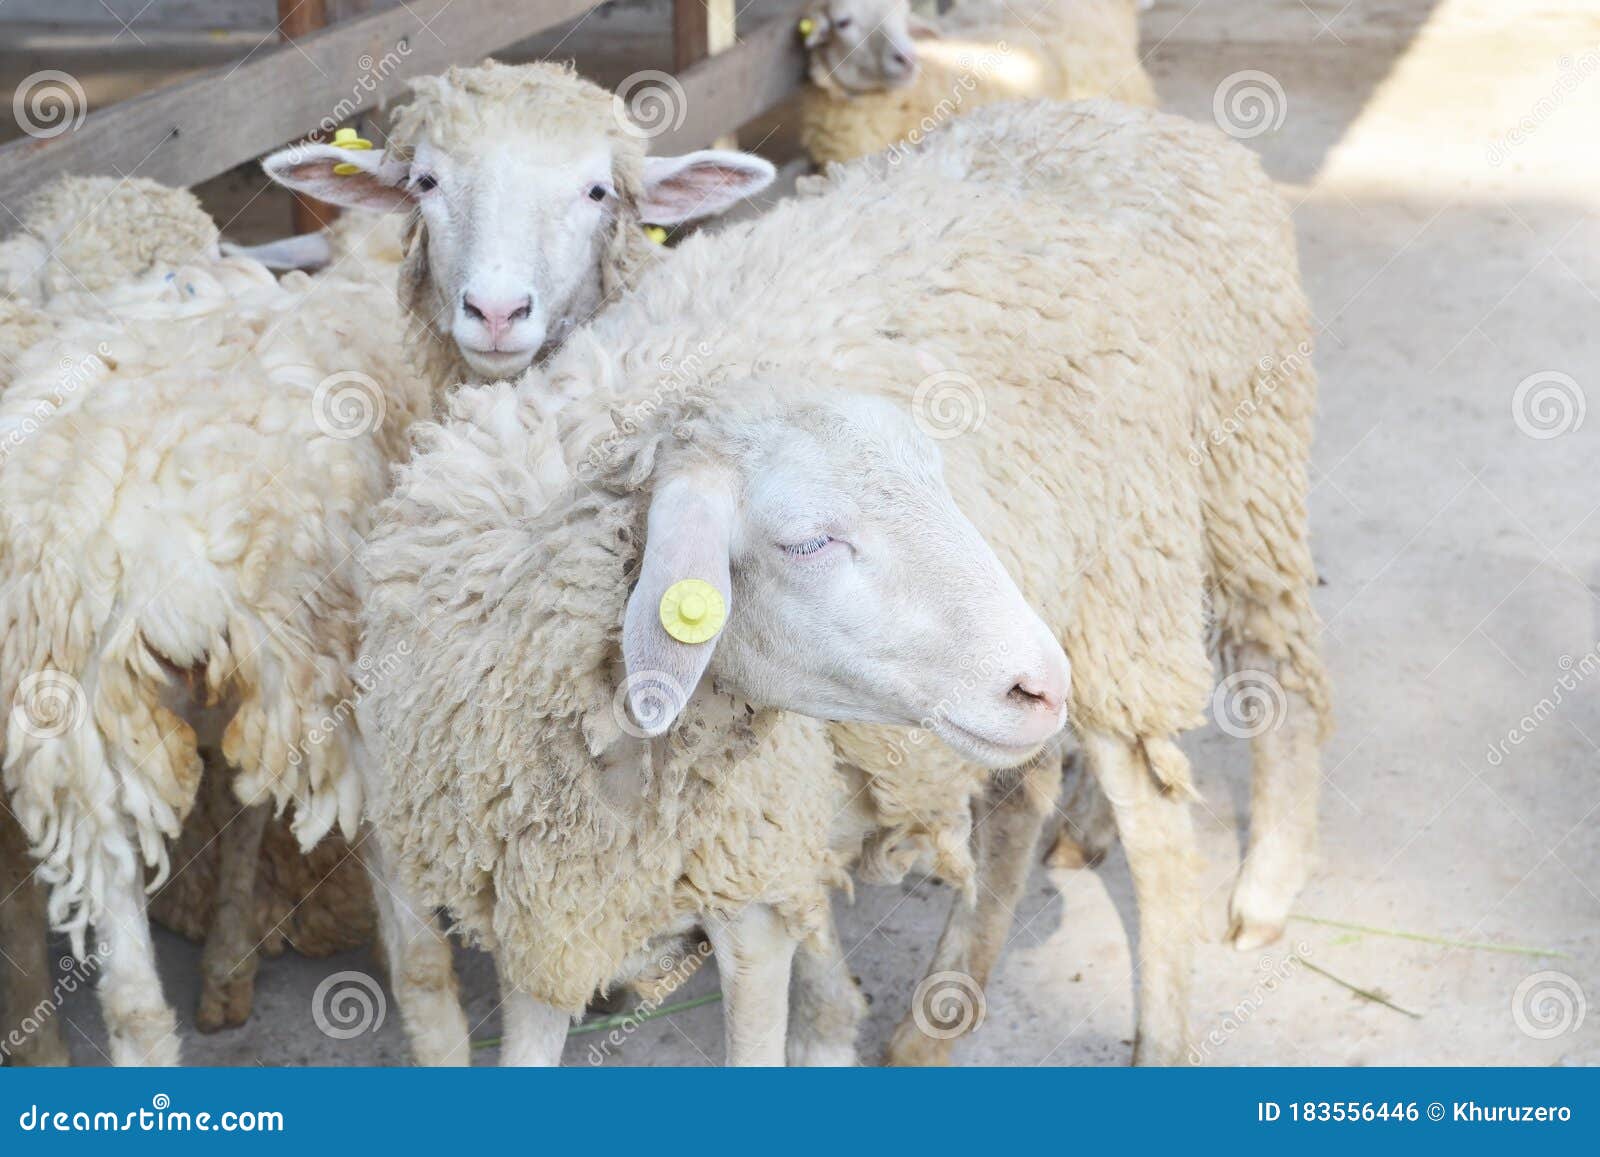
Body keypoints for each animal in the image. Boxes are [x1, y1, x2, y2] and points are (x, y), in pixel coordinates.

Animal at [363, 96, 1330, 1066]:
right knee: (1025, 795)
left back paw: (1232, 934)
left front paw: (823, 1024)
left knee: (1218, 749)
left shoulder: (750, 887)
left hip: (1184, 532)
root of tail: (1146, 124)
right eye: (809, 542)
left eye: (598, 189)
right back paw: (946, 1003)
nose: (495, 311)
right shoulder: (544, 912)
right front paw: (838, 1016)